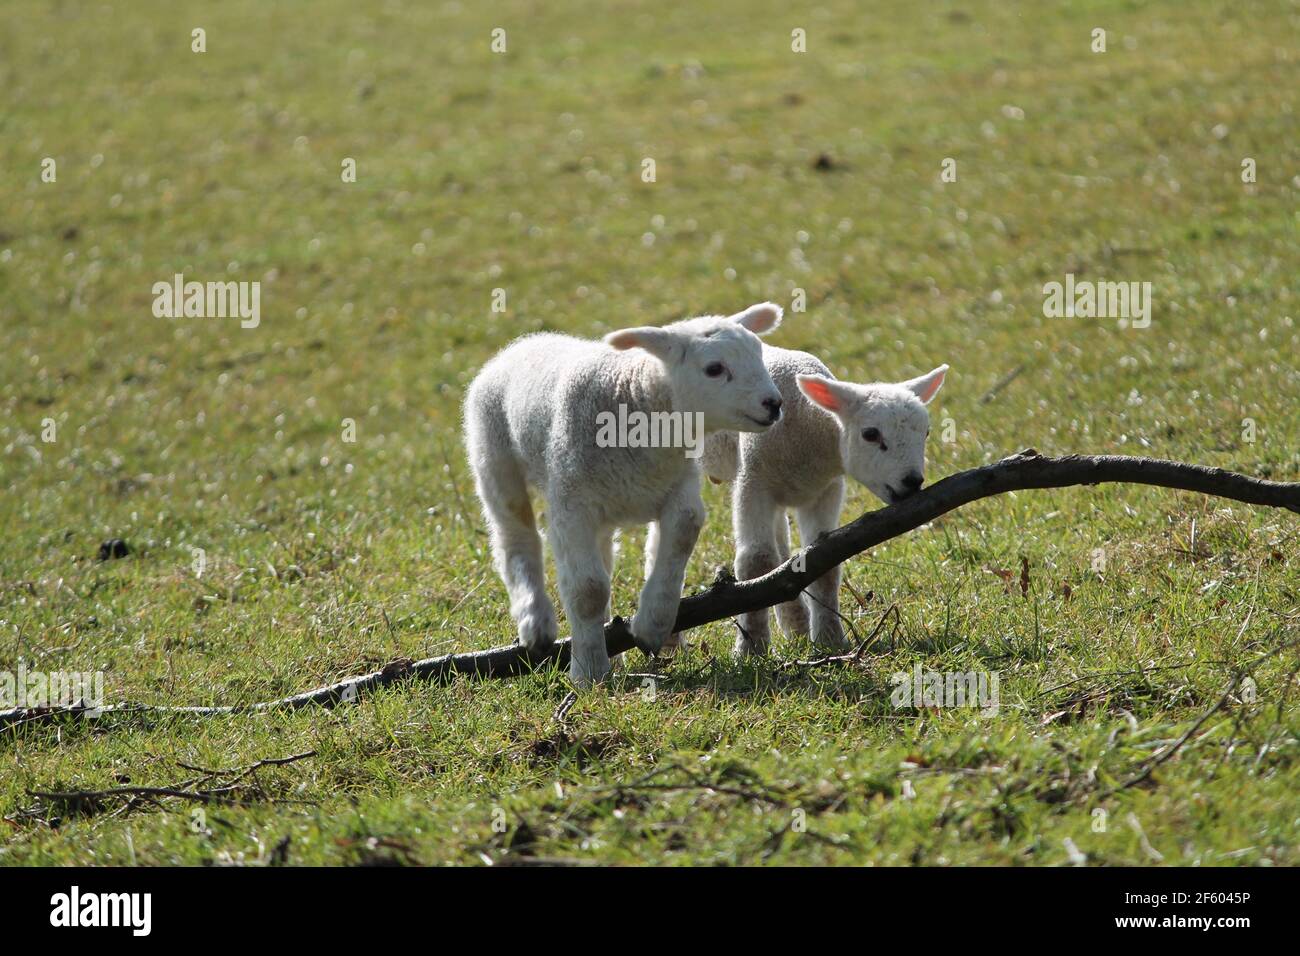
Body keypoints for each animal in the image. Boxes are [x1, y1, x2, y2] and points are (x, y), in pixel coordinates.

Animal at [464, 304, 787, 686]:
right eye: (714, 369)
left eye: (759, 353)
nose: (774, 403)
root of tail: (523, 343)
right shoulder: (571, 506)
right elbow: (588, 590)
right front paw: (589, 672)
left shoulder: (678, 488)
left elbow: (683, 534)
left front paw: (652, 624)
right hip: (494, 456)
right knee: (515, 538)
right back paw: (536, 624)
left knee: (602, 554)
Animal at [701, 347, 947, 657]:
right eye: (870, 434)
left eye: (926, 433)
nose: (912, 481)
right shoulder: (752, 482)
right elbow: (755, 561)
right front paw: (751, 648)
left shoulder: (825, 489)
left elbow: (824, 559)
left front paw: (830, 640)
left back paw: (796, 625)